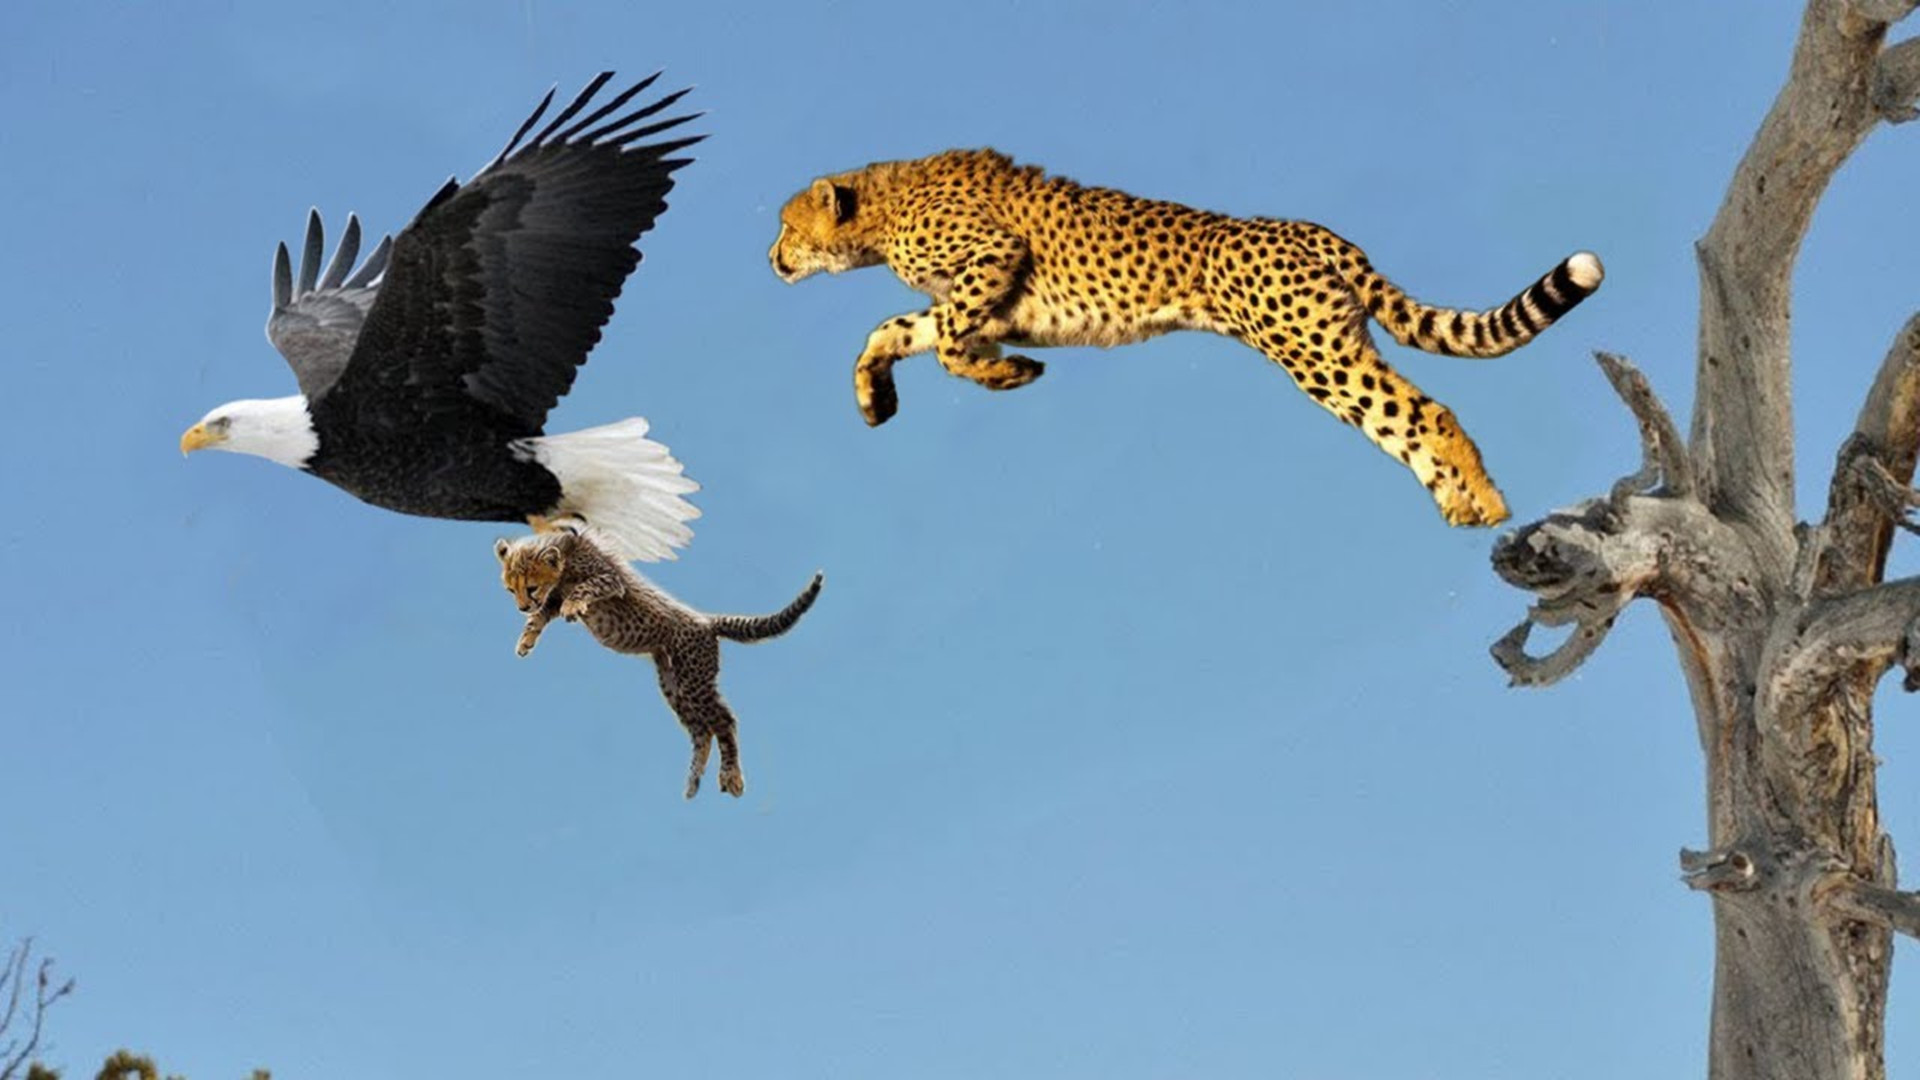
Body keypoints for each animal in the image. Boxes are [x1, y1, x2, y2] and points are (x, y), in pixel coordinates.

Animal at [496, 525, 824, 799]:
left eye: (531, 587)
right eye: (511, 589)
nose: (521, 606)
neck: (565, 557)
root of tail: (706, 621)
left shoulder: (609, 580)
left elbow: (584, 588)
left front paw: (572, 605)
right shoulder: (552, 597)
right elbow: (541, 616)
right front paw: (526, 639)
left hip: (693, 680)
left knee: (724, 720)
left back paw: (730, 776)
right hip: (673, 685)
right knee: (701, 729)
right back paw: (693, 782)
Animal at [769, 148, 1604, 527]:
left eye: (786, 226)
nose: (772, 259)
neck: (884, 203)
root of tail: (1311, 229)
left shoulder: (995, 260)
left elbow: (942, 344)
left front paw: (1005, 374)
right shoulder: (982, 299)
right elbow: (894, 330)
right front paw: (875, 397)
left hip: (1313, 353)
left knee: (1423, 411)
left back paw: (1486, 500)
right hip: (1331, 346)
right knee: (1399, 418)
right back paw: (1458, 501)